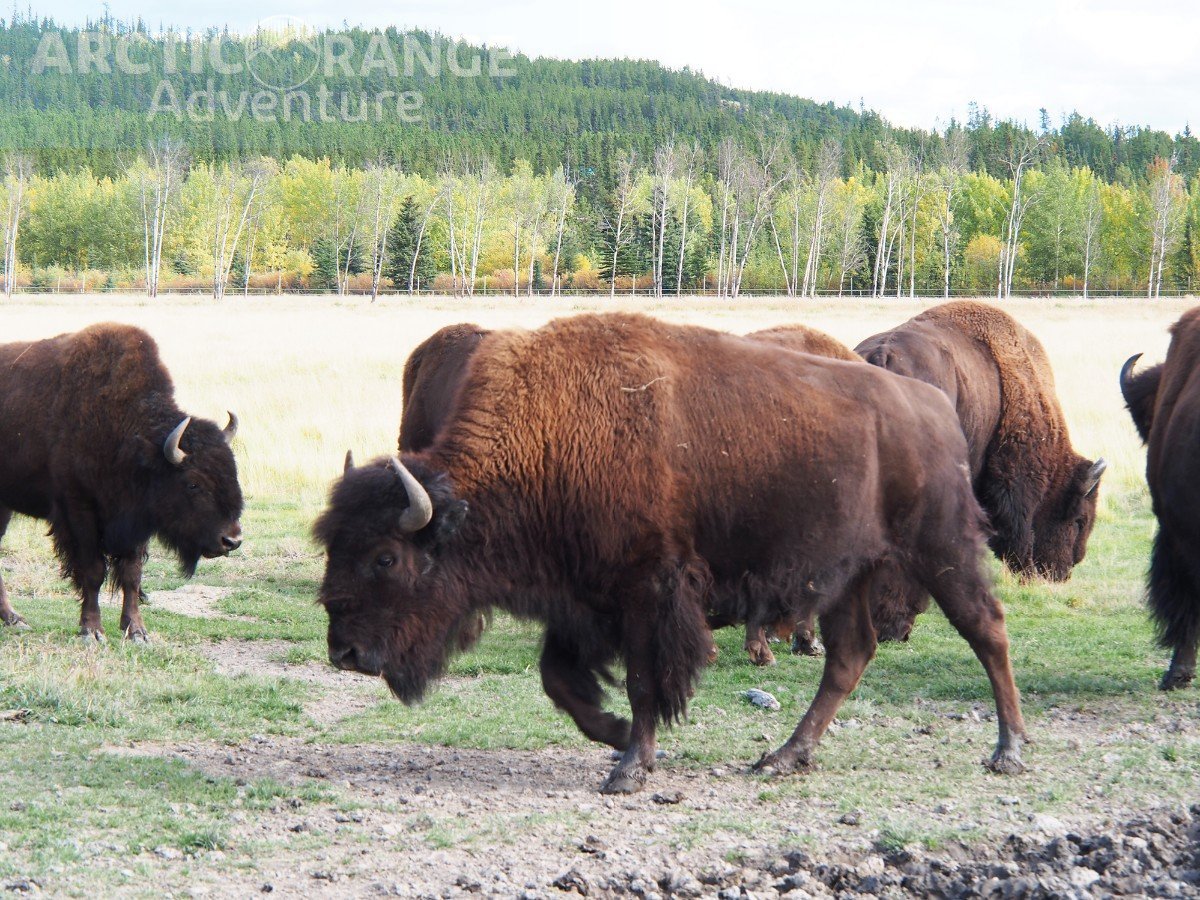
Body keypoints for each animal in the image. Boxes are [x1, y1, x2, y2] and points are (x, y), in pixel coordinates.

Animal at [0, 323, 244, 640]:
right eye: (193, 483)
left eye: (233, 472)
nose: (232, 540)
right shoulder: (79, 511)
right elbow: (93, 572)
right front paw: (91, 630)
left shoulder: (136, 521)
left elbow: (132, 573)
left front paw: (137, 631)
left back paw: (14, 618)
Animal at [315, 313, 1027, 793]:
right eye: (335, 547)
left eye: (386, 558)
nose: (344, 652)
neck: (547, 441)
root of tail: (935, 408)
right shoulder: (581, 599)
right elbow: (560, 681)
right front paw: (617, 738)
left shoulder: (647, 591)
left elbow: (644, 680)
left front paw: (630, 766)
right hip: (849, 576)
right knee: (850, 656)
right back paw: (784, 757)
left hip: (941, 549)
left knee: (987, 629)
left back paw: (1008, 751)